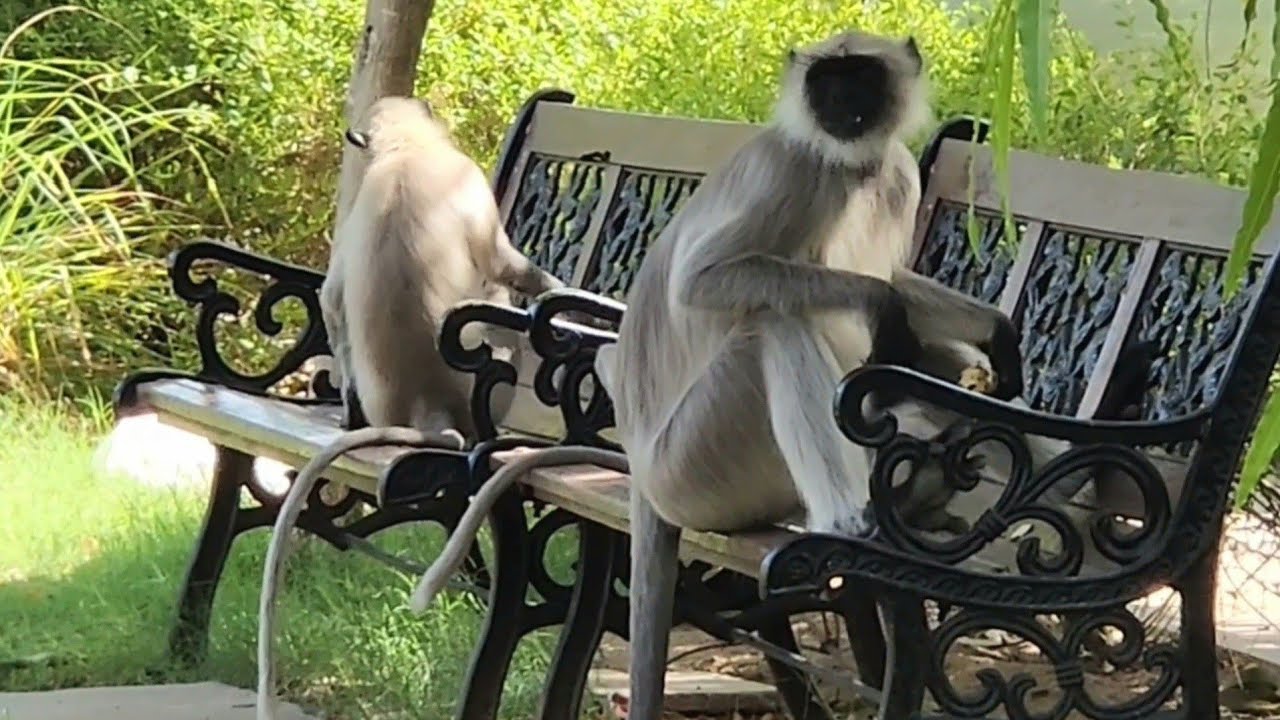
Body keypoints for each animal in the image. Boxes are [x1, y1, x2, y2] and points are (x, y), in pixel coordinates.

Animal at [255, 96, 564, 720]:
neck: (404, 153)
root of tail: (429, 409)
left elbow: (331, 299)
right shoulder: (468, 182)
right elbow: (507, 265)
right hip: (497, 373)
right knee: (500, 306)